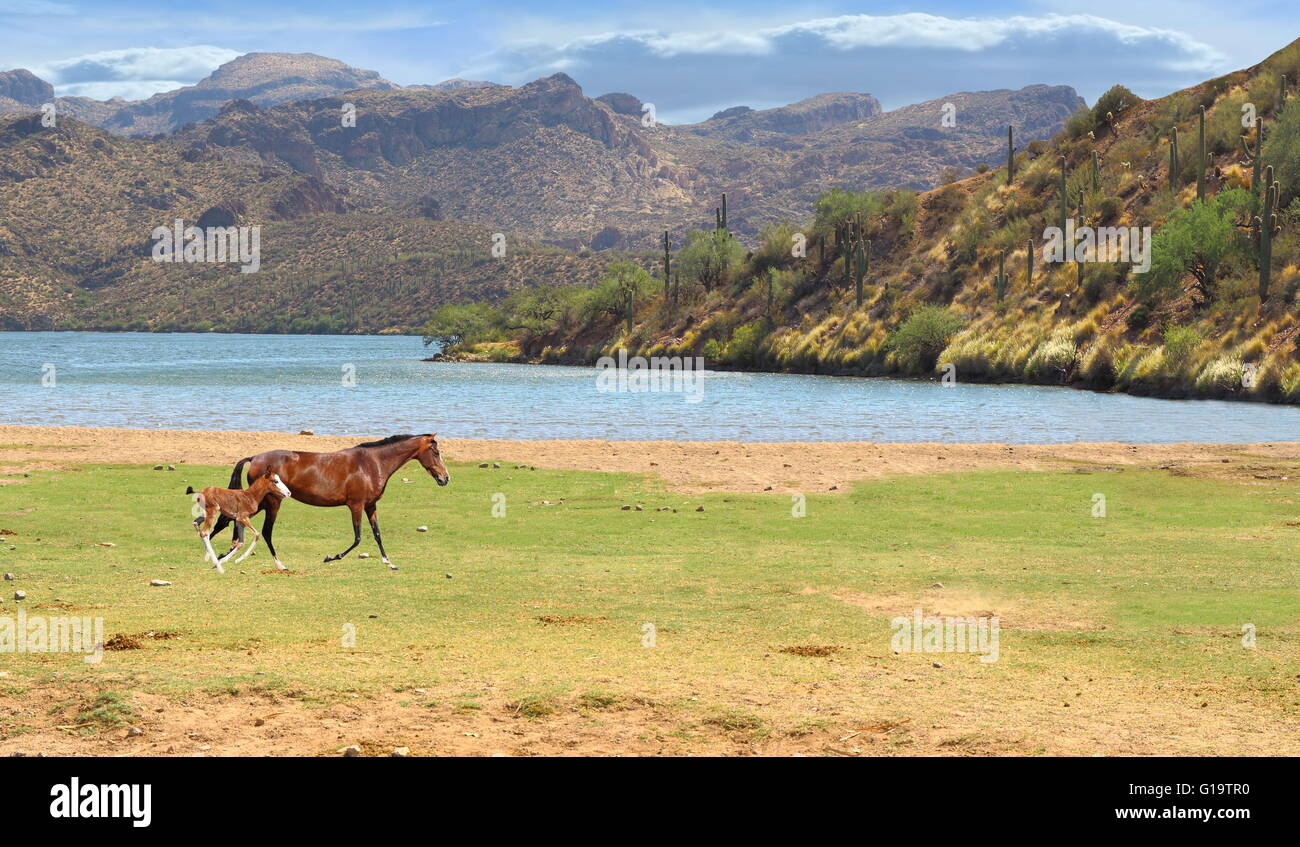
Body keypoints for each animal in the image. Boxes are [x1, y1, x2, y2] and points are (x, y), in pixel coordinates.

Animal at [212, 433, 449, 571]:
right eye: (436, 452)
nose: (445, 478)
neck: (372, 464)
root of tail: (255, 458)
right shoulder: (356, 505)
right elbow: (358, 538)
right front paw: (331, 557)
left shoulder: (370, 506)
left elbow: (377, 534)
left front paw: (388, 562)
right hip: (272, 503)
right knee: (264, 531)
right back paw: (279, 564)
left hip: (261, 503)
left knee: (231, 521)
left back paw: (223, 555)